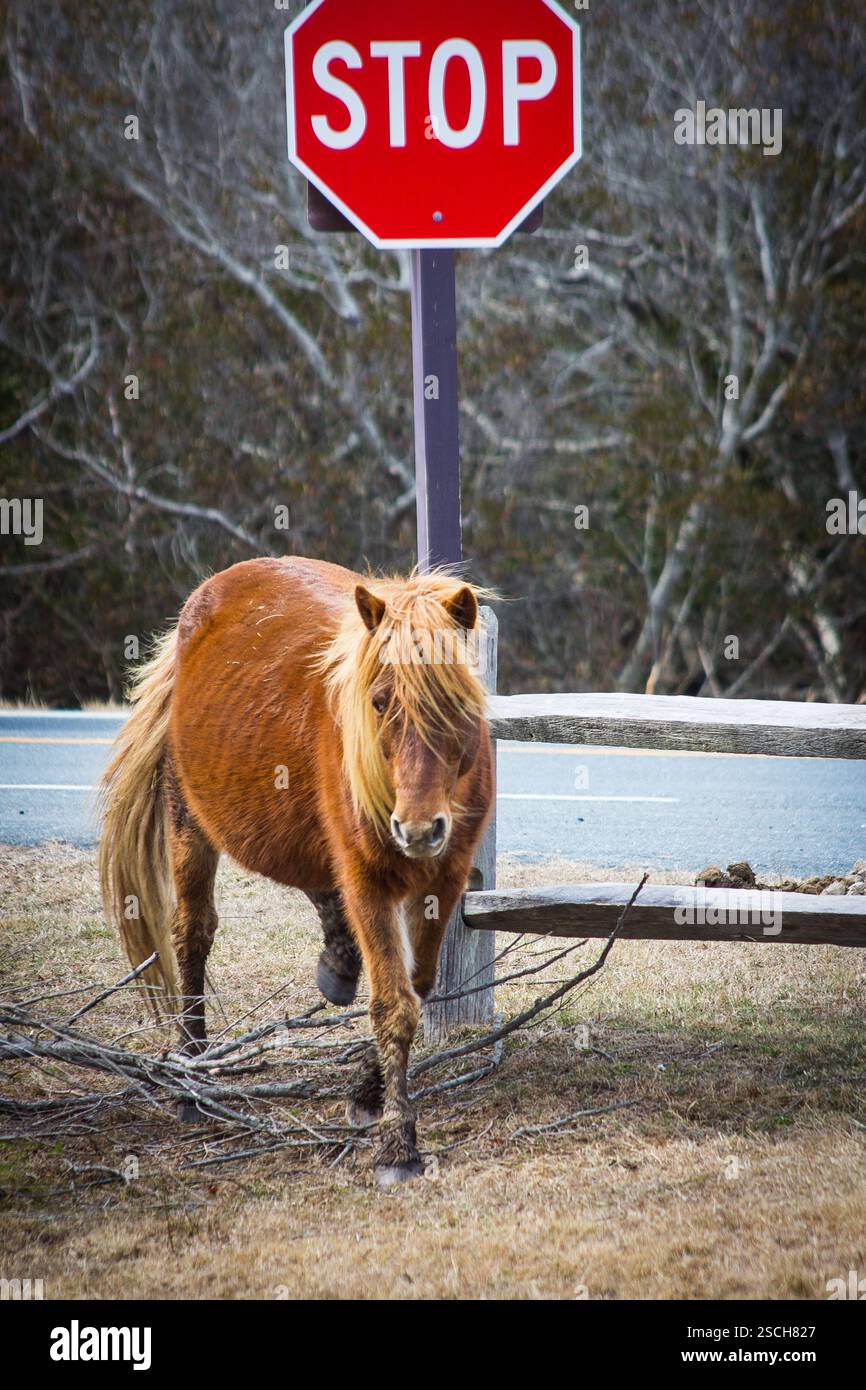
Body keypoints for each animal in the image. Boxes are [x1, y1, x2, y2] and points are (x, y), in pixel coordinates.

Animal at [99, 556, 495, 1186]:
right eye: (379, 702)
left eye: (457, 703)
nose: (417, 830)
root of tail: (203, 599)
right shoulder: (368, 882)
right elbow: (394, 1005)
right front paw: (397, 1147)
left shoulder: (444, 881)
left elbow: (419, 985)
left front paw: (368, 1093)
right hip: (190, 824)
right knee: (193, 935)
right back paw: (191, 1075)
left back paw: (337, 966)